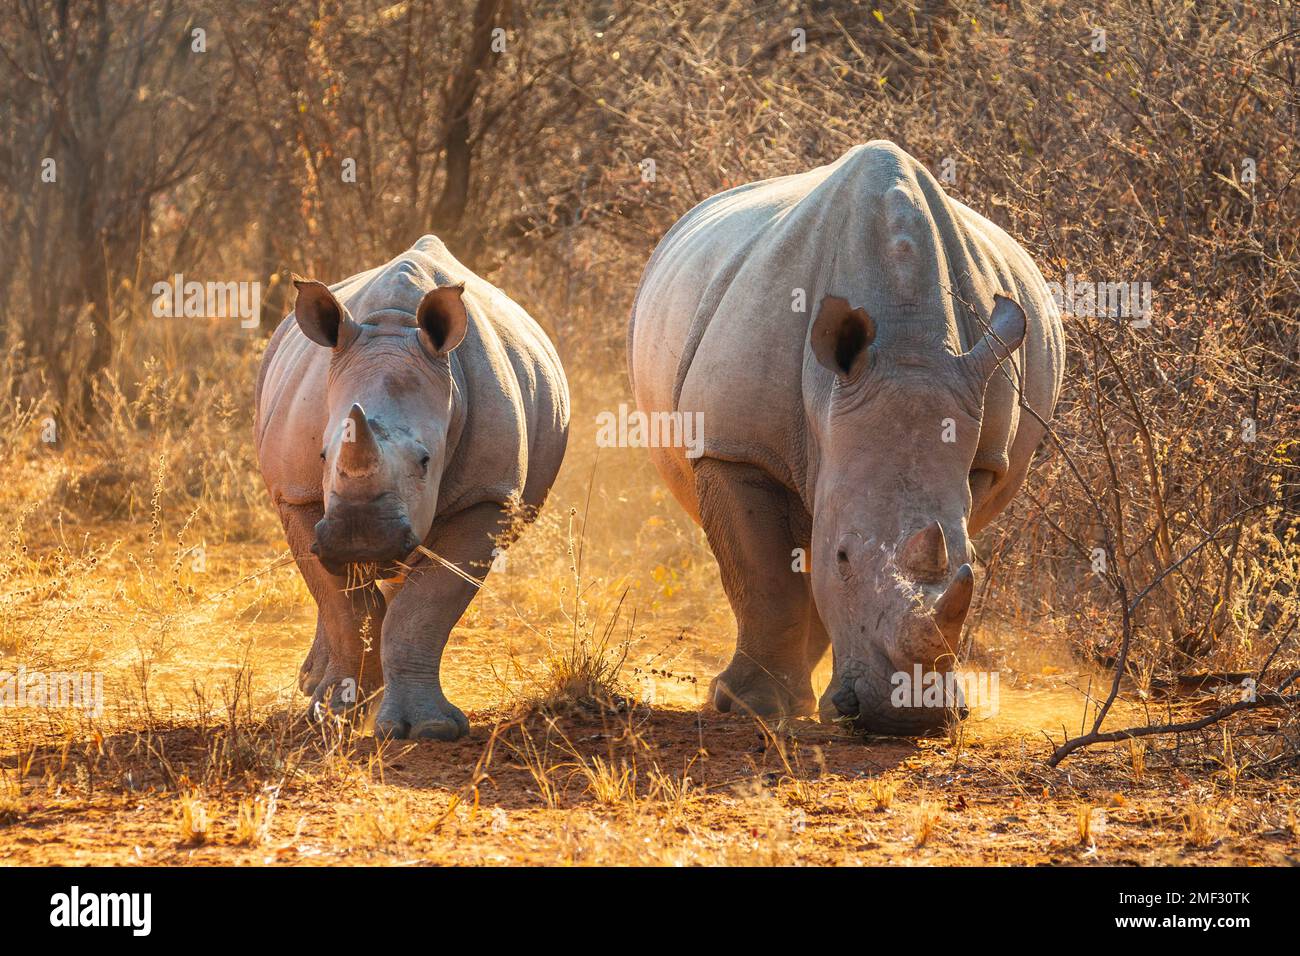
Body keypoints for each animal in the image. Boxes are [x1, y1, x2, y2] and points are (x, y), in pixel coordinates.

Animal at [255, 235, 569, 740]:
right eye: (322, 456)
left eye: (426, 461)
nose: (359, 538)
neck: (393, 326)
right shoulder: (297, 492)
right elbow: (344, 607)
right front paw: (332, 715)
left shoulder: (486, 496)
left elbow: (424, 608)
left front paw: (426, 729)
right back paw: (313, 683)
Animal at [628, 142, 1064, 734]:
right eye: (843, 557)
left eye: (971, 557)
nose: (906, 718)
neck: (907, 343)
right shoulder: (735, 447)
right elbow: (764, 577)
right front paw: (749, 707)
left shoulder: (981, 457)